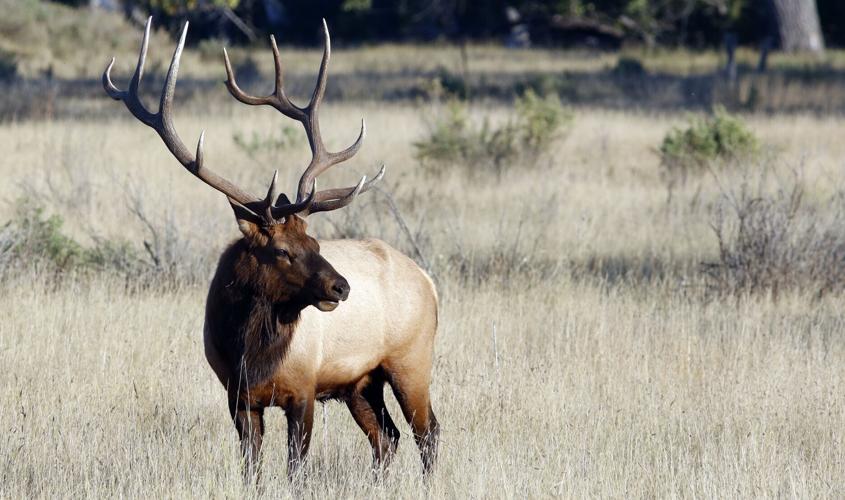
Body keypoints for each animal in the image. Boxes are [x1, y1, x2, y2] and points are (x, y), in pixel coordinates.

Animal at [103, 18, 439, 479]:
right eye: (282, 250)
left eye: (314, 241)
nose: (341, 287)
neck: (249, 350)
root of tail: (429, 281)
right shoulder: (238, 397)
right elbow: (252, 468)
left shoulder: (304, 389)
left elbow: (295, 468)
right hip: (360, 382)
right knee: (387, 438)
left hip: (411, 361)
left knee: (428, 433)